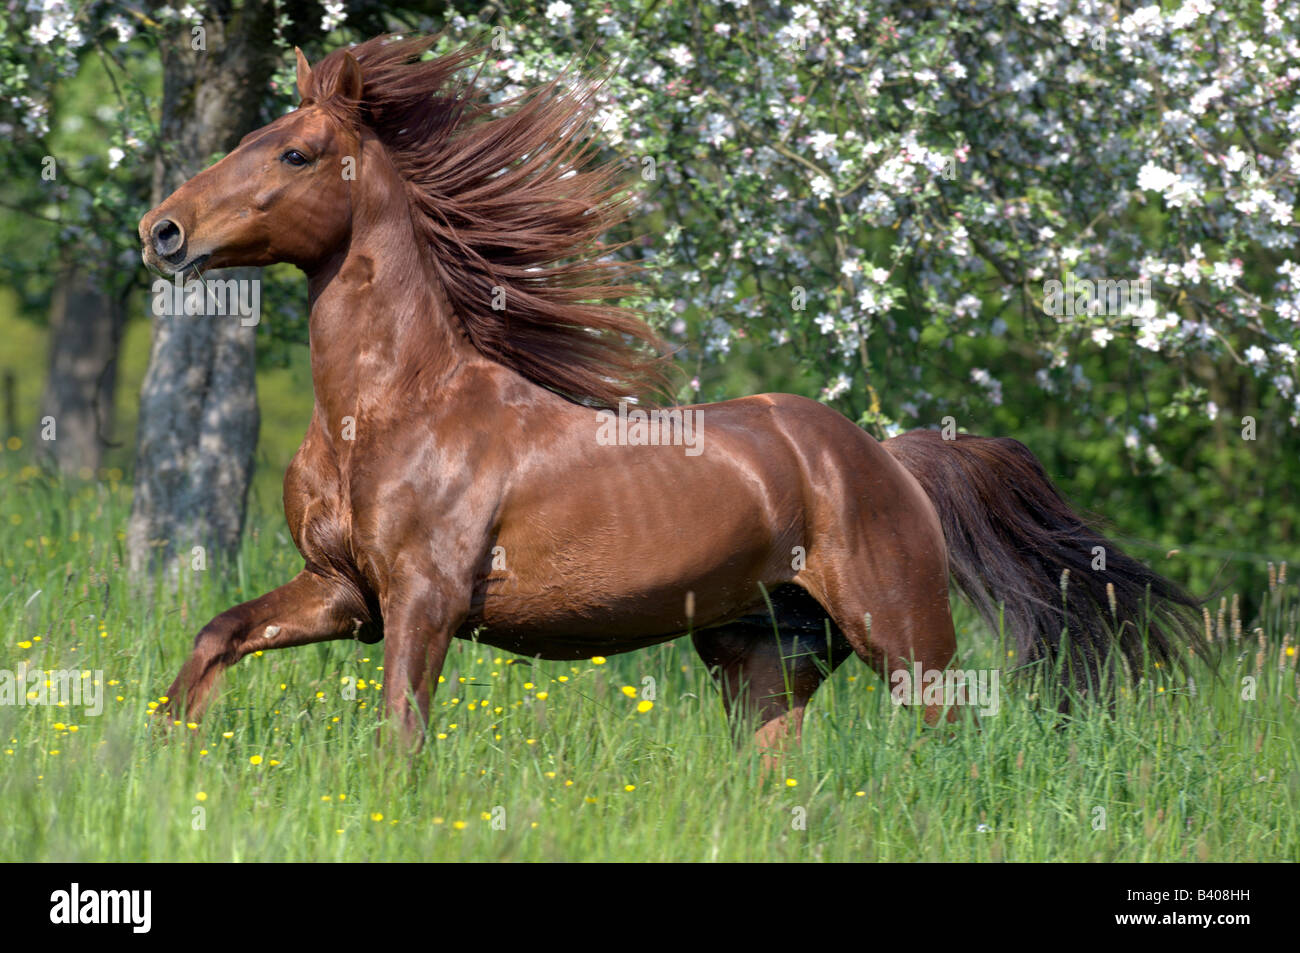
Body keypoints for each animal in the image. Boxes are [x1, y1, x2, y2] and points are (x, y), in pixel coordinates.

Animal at [139, 35, 1202, 751]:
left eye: (296, 153)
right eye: (251, 134)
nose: (164, 229)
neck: (393, 410)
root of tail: (888, 455)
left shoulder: (422, 601)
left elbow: (402, 735)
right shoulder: (343, 591)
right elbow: (215, 637)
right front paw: (172, 753)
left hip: (904, 639)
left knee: (949, 739)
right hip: (765, 659)